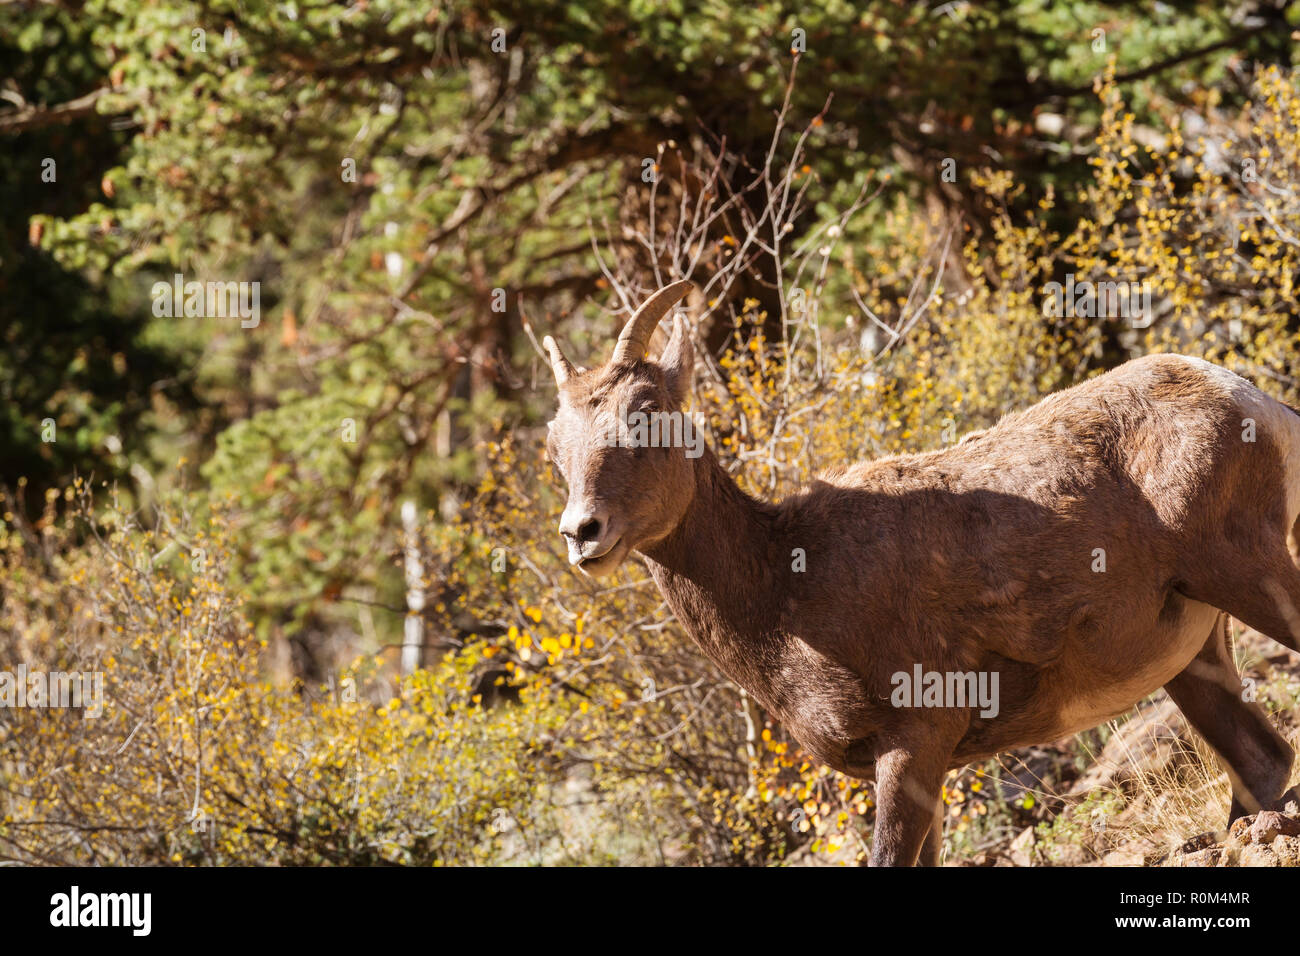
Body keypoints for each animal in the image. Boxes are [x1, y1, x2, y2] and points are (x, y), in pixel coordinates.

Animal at [542, 280, 1300, 865]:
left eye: (646, 416)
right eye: (555, 441)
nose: (582, 533)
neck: (787, 588)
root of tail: (1254, 401)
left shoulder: (914, 742)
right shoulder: (920, 767)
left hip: (1249, 575)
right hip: (1195, 653)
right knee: (1263, 760)